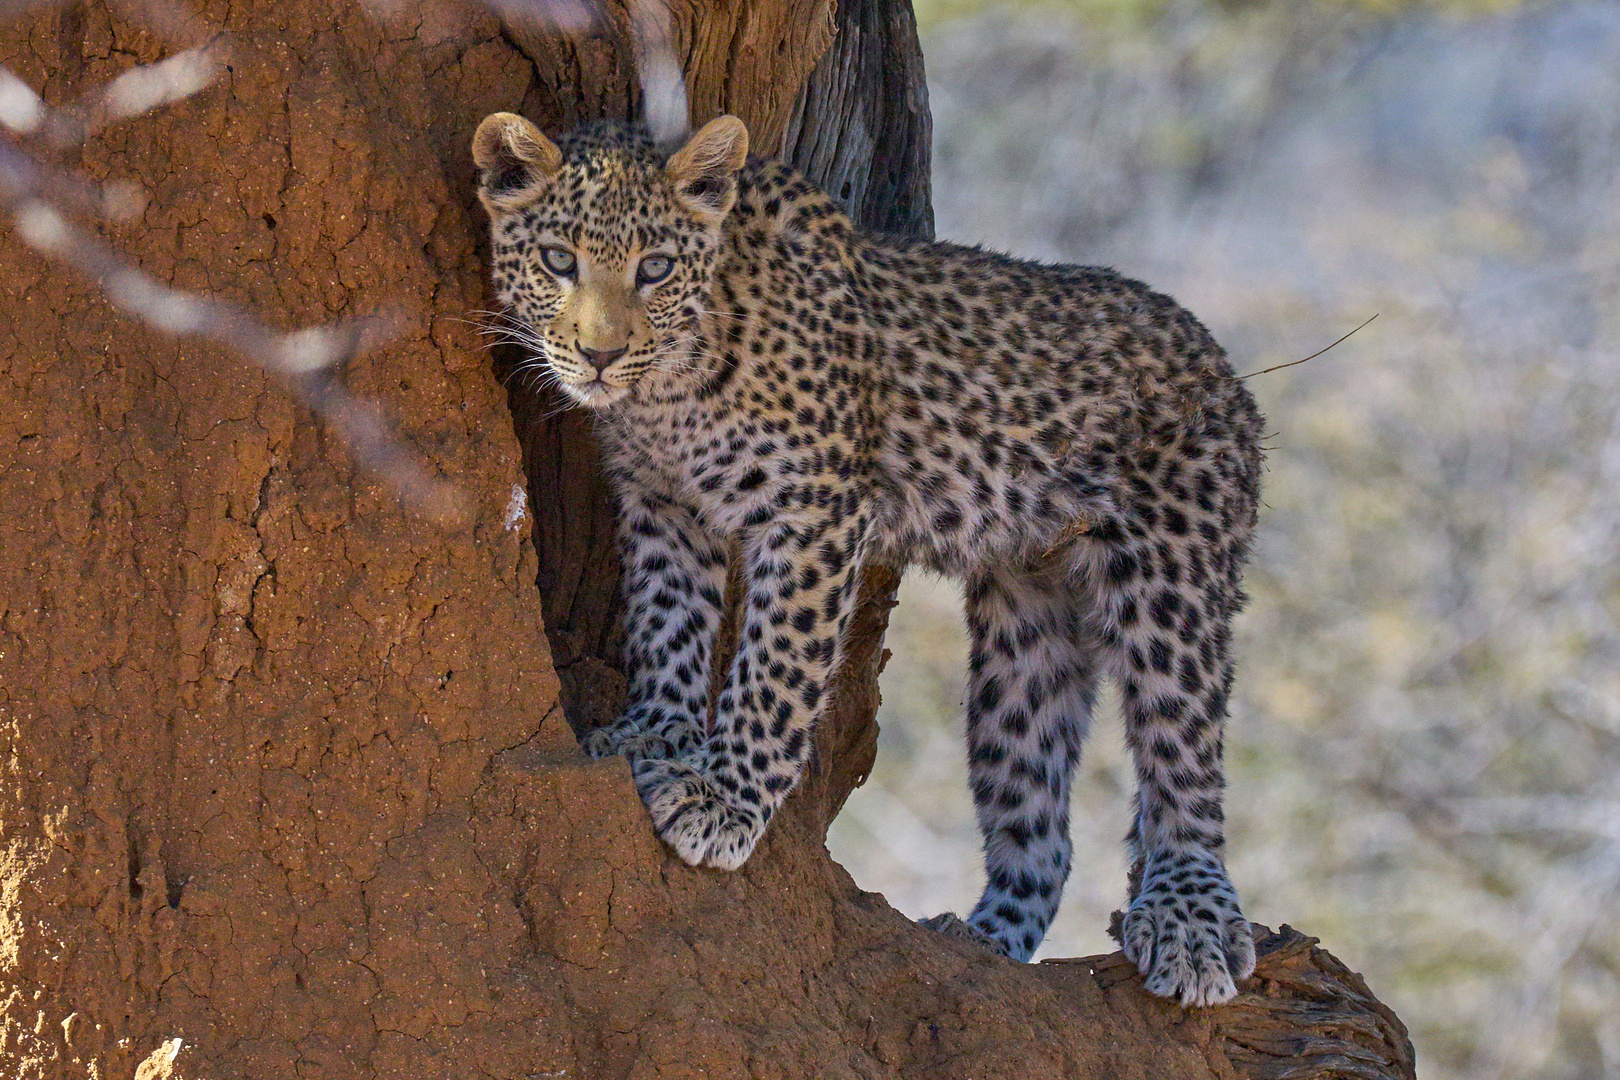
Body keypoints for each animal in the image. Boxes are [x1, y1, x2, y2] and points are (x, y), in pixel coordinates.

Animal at [472, 109, 1266, 1006]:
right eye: (558, 260)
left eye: (657, 268)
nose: (601, 356)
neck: (668, 393)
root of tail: (1225, 368)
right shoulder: (664, 503)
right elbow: (668, 622)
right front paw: (655, 731)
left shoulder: (815, 508)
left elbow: (775, 670)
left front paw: (723, 797)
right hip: (1027, 630)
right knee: (1039, 822)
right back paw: (980, 942)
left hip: (1172, 578)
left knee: (1184, 756)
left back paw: (1190, 922)